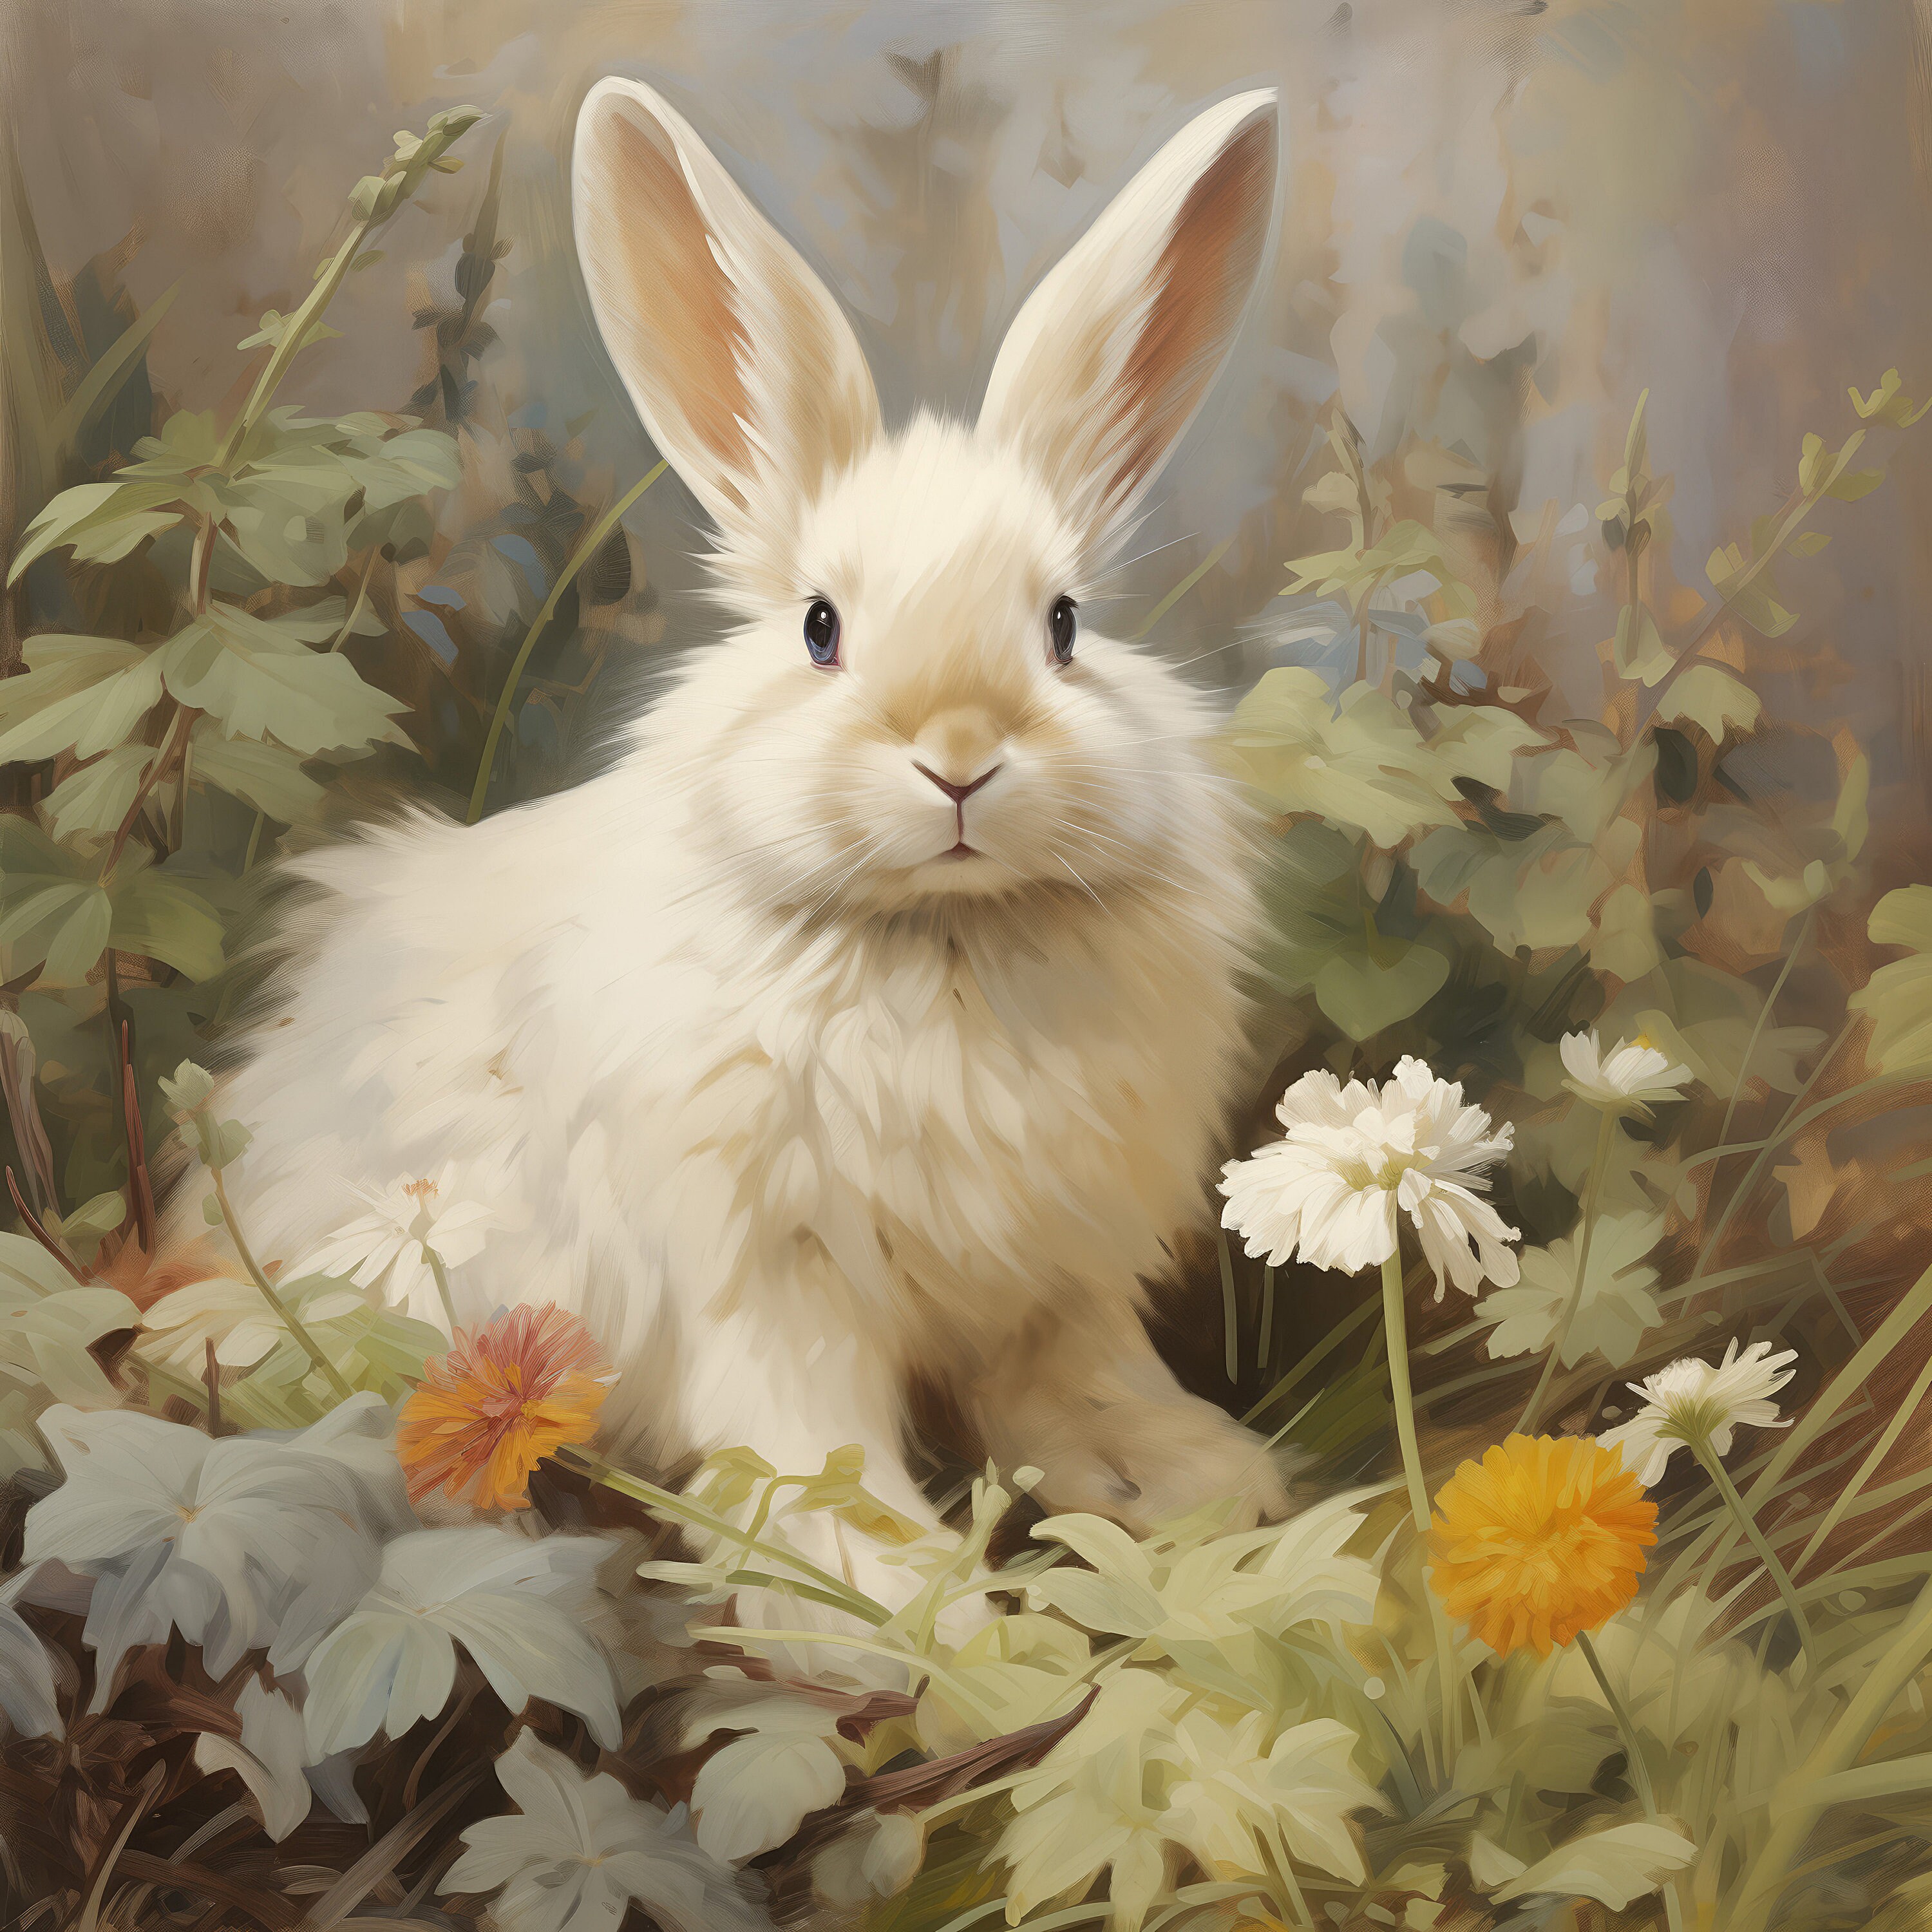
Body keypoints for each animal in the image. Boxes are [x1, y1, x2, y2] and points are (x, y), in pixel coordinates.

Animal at [166, 76, 1290, 1620]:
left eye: (1064, 626)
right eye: (821, 628)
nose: (958, 756)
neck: (941, 939)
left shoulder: (1055, 1274)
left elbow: (1079, 1381)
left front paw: (1189, 1482)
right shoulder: (768, 1280)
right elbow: (809, 1442)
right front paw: (898, 1602)